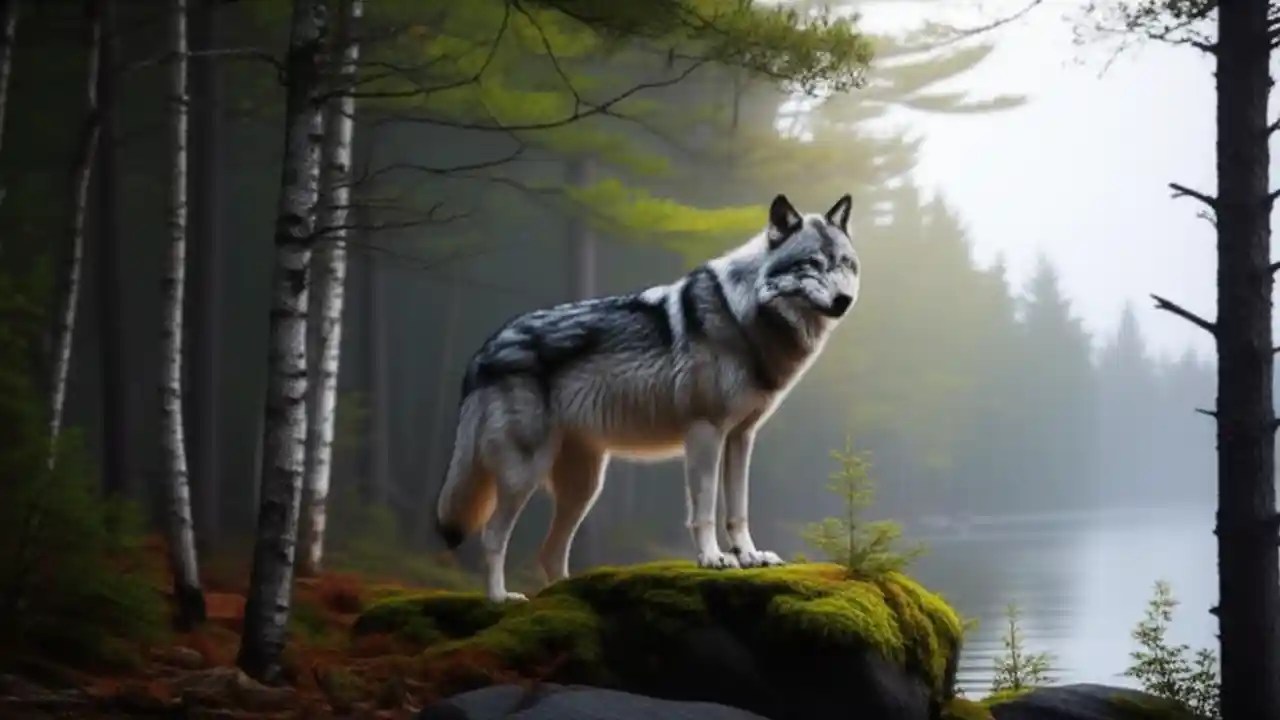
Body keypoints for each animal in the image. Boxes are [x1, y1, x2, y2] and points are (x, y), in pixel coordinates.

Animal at [434, 193, 862, 602]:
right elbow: (705, 508)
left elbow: (738, 510)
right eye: (812, 263)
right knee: (493, 536)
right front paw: (713, 558)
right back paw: (500, 599)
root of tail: (483, 350)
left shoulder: (741, 437)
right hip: (525, 473)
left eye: (844, 263)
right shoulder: (705, 432)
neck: (744, 317)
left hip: (584, 487)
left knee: (549, 551)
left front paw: (750, 556)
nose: (845, 300)